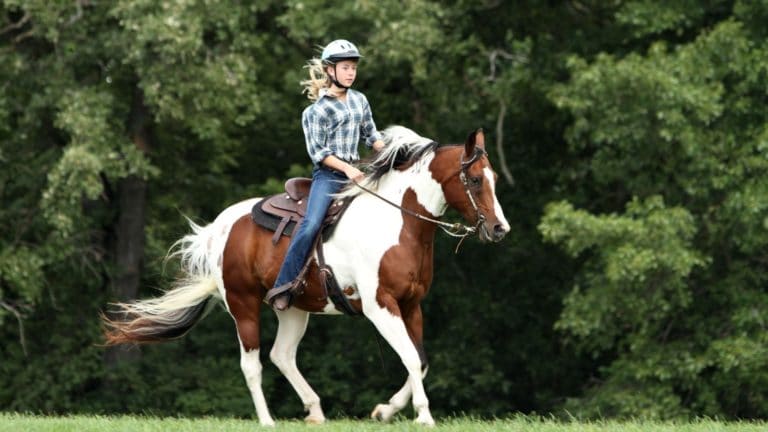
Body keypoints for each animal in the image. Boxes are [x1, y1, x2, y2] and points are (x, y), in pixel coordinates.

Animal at [102, 125, 510, 426]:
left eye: (493, 177)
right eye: (475, 180)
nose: (499, 228)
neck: (398, 222)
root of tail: (219, 229)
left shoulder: (411, 304)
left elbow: (420, 361)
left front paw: (385, 410)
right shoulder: (380, 306)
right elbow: (410, 356)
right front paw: (423, 416)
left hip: (293, 308)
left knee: (282, 354)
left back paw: (314, 410)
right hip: (243, 304)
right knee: (252, 364)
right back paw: (267, 421)